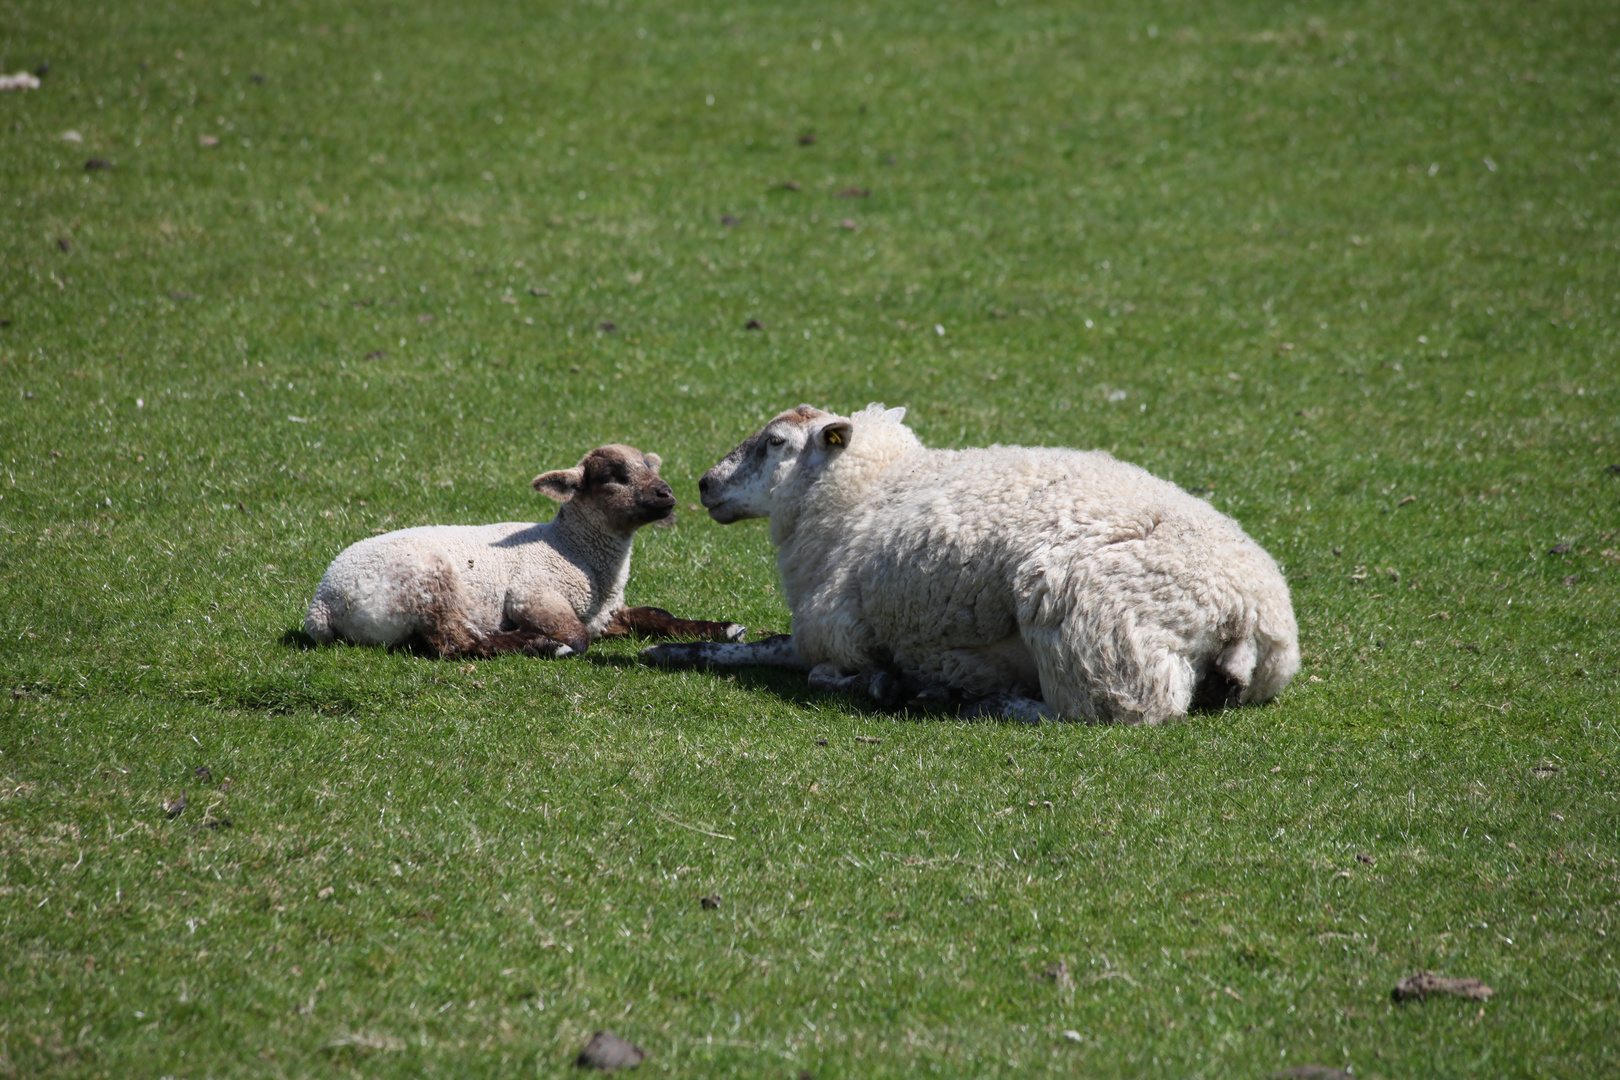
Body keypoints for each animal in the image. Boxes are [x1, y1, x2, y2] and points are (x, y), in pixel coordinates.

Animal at [304, 444, 746, 658]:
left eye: (650, 467)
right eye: (614, 477)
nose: (666, 493)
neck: (573, 549)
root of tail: (322, 605)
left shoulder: (606, 612)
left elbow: (657, 614)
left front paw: (722, 629)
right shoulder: (533, 594)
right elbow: (579, 635)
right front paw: (553, 640)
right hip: (426, 585)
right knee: (455, 643)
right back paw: (537, 644)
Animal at [642, 405, 1299, 724]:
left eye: (775, 443)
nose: (704, 484)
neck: (866, 495)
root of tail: (1246, 614)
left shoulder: (840, 633)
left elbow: (815, 671)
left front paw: (884, 686)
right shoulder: (817, 634)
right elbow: (762, 645)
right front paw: (677, 650)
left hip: (1099, 643)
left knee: (1113, 714)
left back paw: (975, 702)